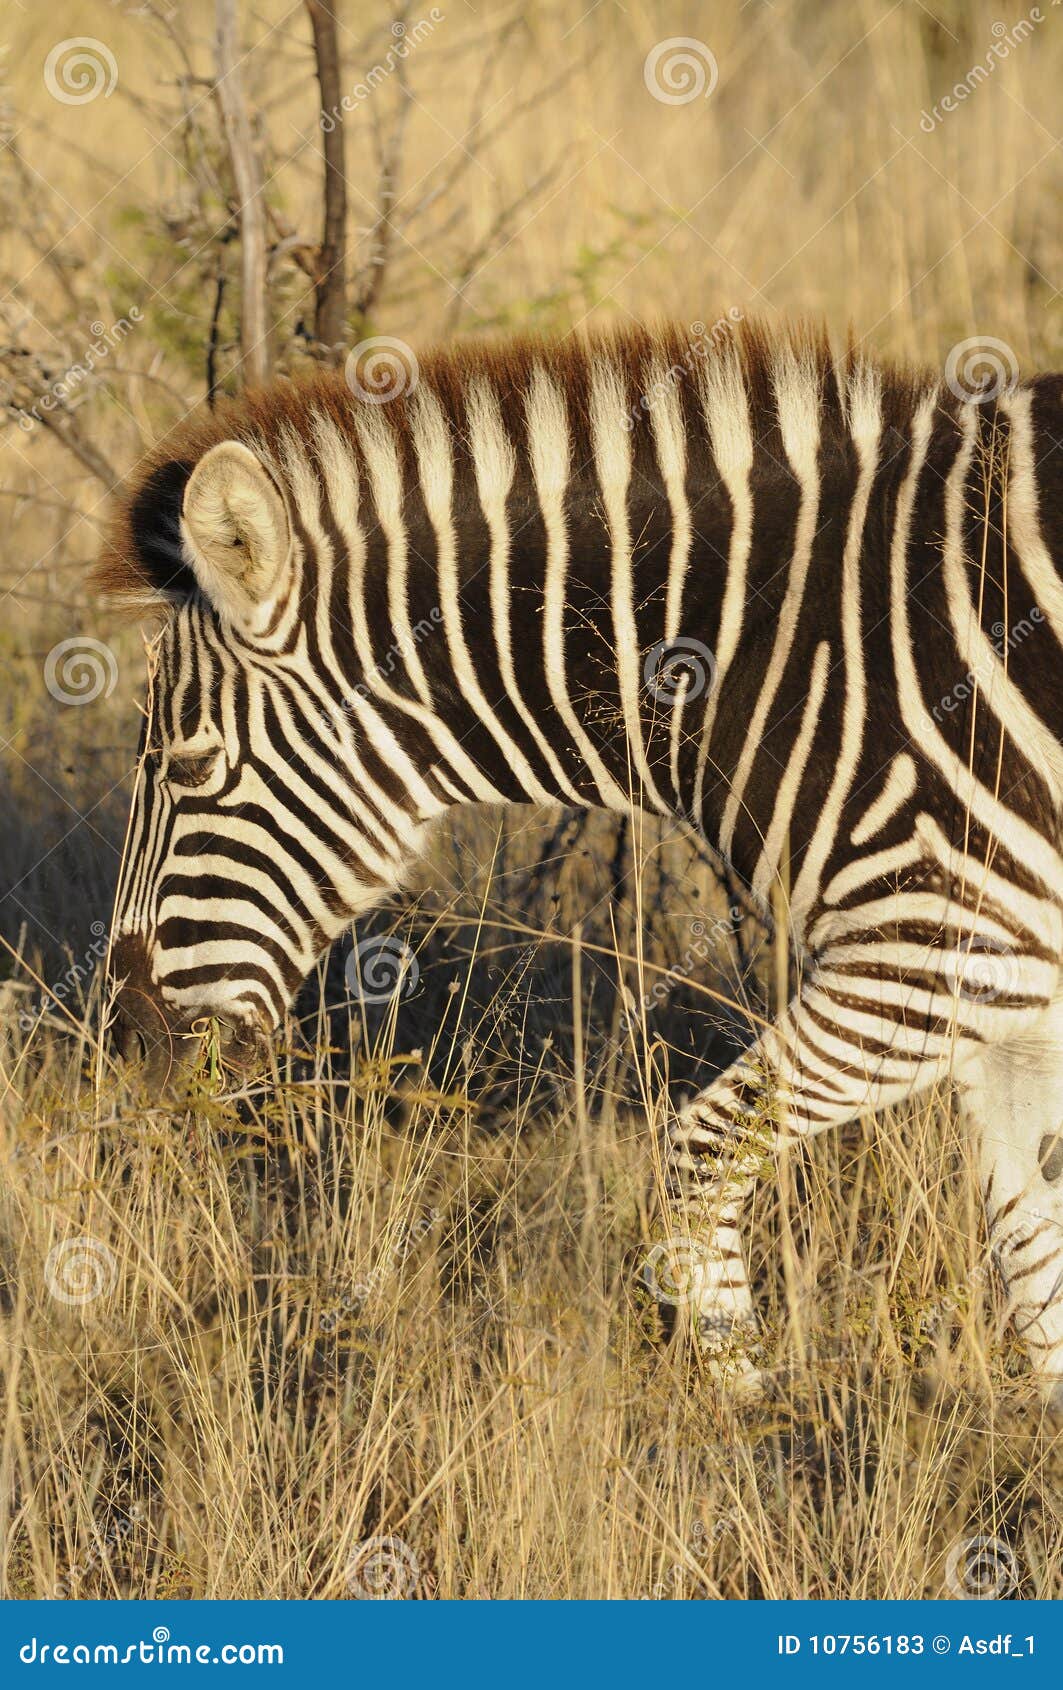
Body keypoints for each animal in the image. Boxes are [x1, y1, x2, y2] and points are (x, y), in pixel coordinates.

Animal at [96, 321, 1063, 1411]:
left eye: (187, 767)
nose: (128, 1036)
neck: (783, 642)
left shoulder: (936, 949)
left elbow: (701, 1148)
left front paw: (752, 1419)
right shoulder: (1010, 990)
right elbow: (1031, 1245)